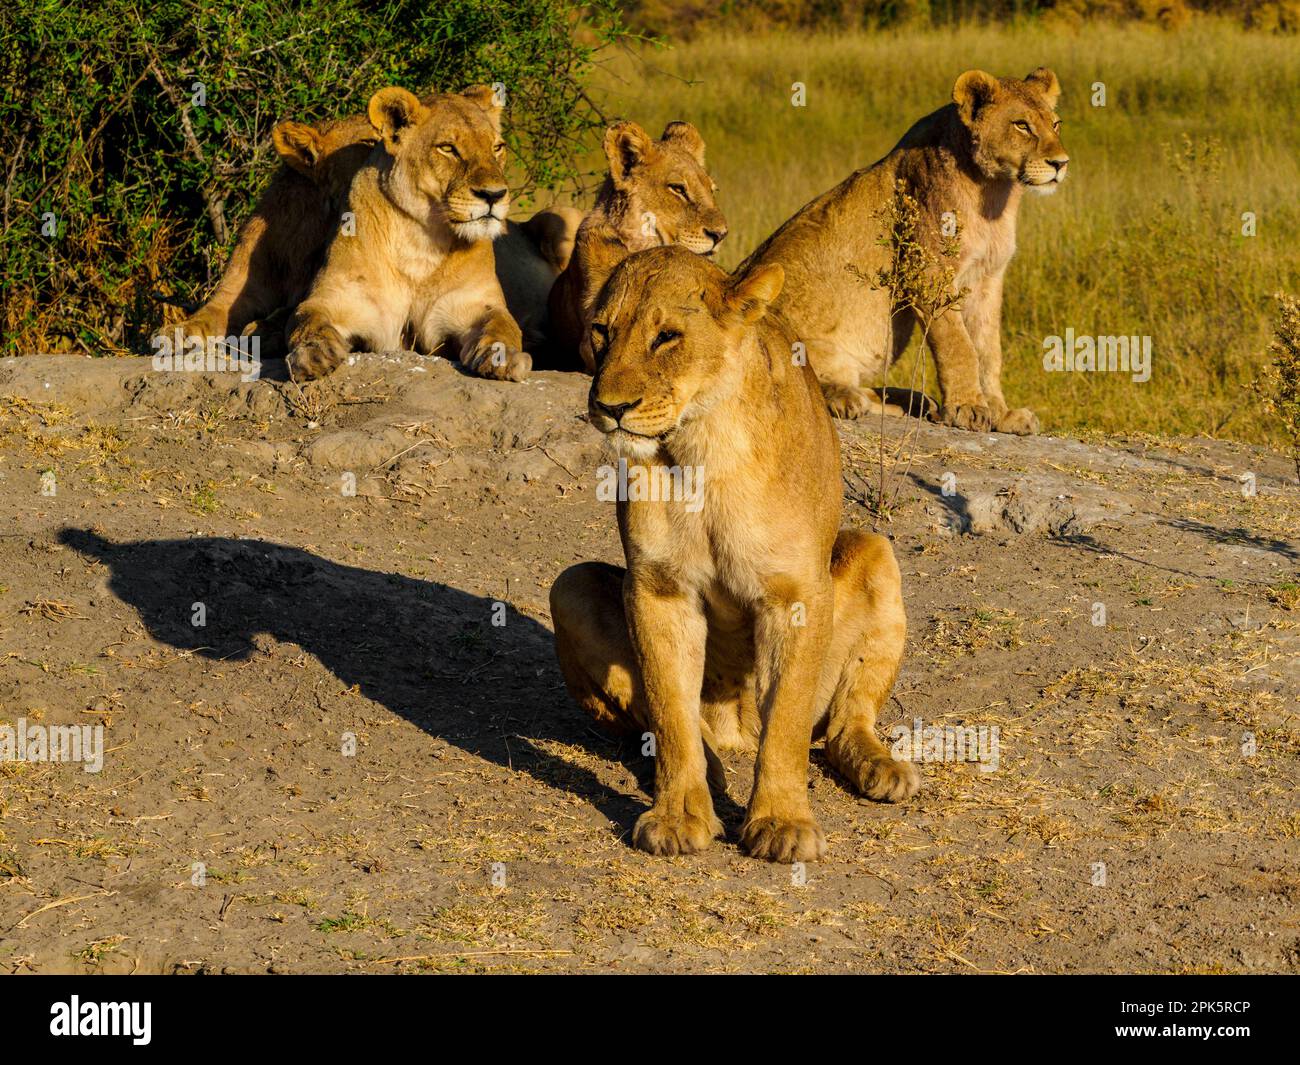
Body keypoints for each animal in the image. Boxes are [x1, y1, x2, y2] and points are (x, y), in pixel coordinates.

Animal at [286, 86, 533, 382]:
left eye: (497, 148)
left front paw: (504, 357)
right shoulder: (337, 298)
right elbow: (307, 320)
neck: (423, 239)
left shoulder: (476, 304)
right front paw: (313, 353)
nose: (494, 195)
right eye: (447, 148)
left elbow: (502, 326)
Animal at [549, 245, 917, 863]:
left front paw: (783, 822)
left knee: (844, 722)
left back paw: (882, 769)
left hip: (876, 552)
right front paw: (678, 816)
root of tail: (736, 733)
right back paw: (710, 767)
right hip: (568, 585)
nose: (609, 406)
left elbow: (787, 720)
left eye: (666, 337)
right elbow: (669, 710)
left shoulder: (797, 594)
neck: (703, 446)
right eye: (602, 331)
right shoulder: (658, 587)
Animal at [739, 68, 1069, 435]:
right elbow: (958, 345)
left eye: (1055, 124)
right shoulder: (927, 272)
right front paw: (968, 408)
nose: (1061, 163)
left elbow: (988, 350)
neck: (995, 191)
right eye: (1022, 125)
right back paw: (846, 398)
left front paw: (1001, 414)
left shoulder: (987, 278)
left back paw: (908, 400)